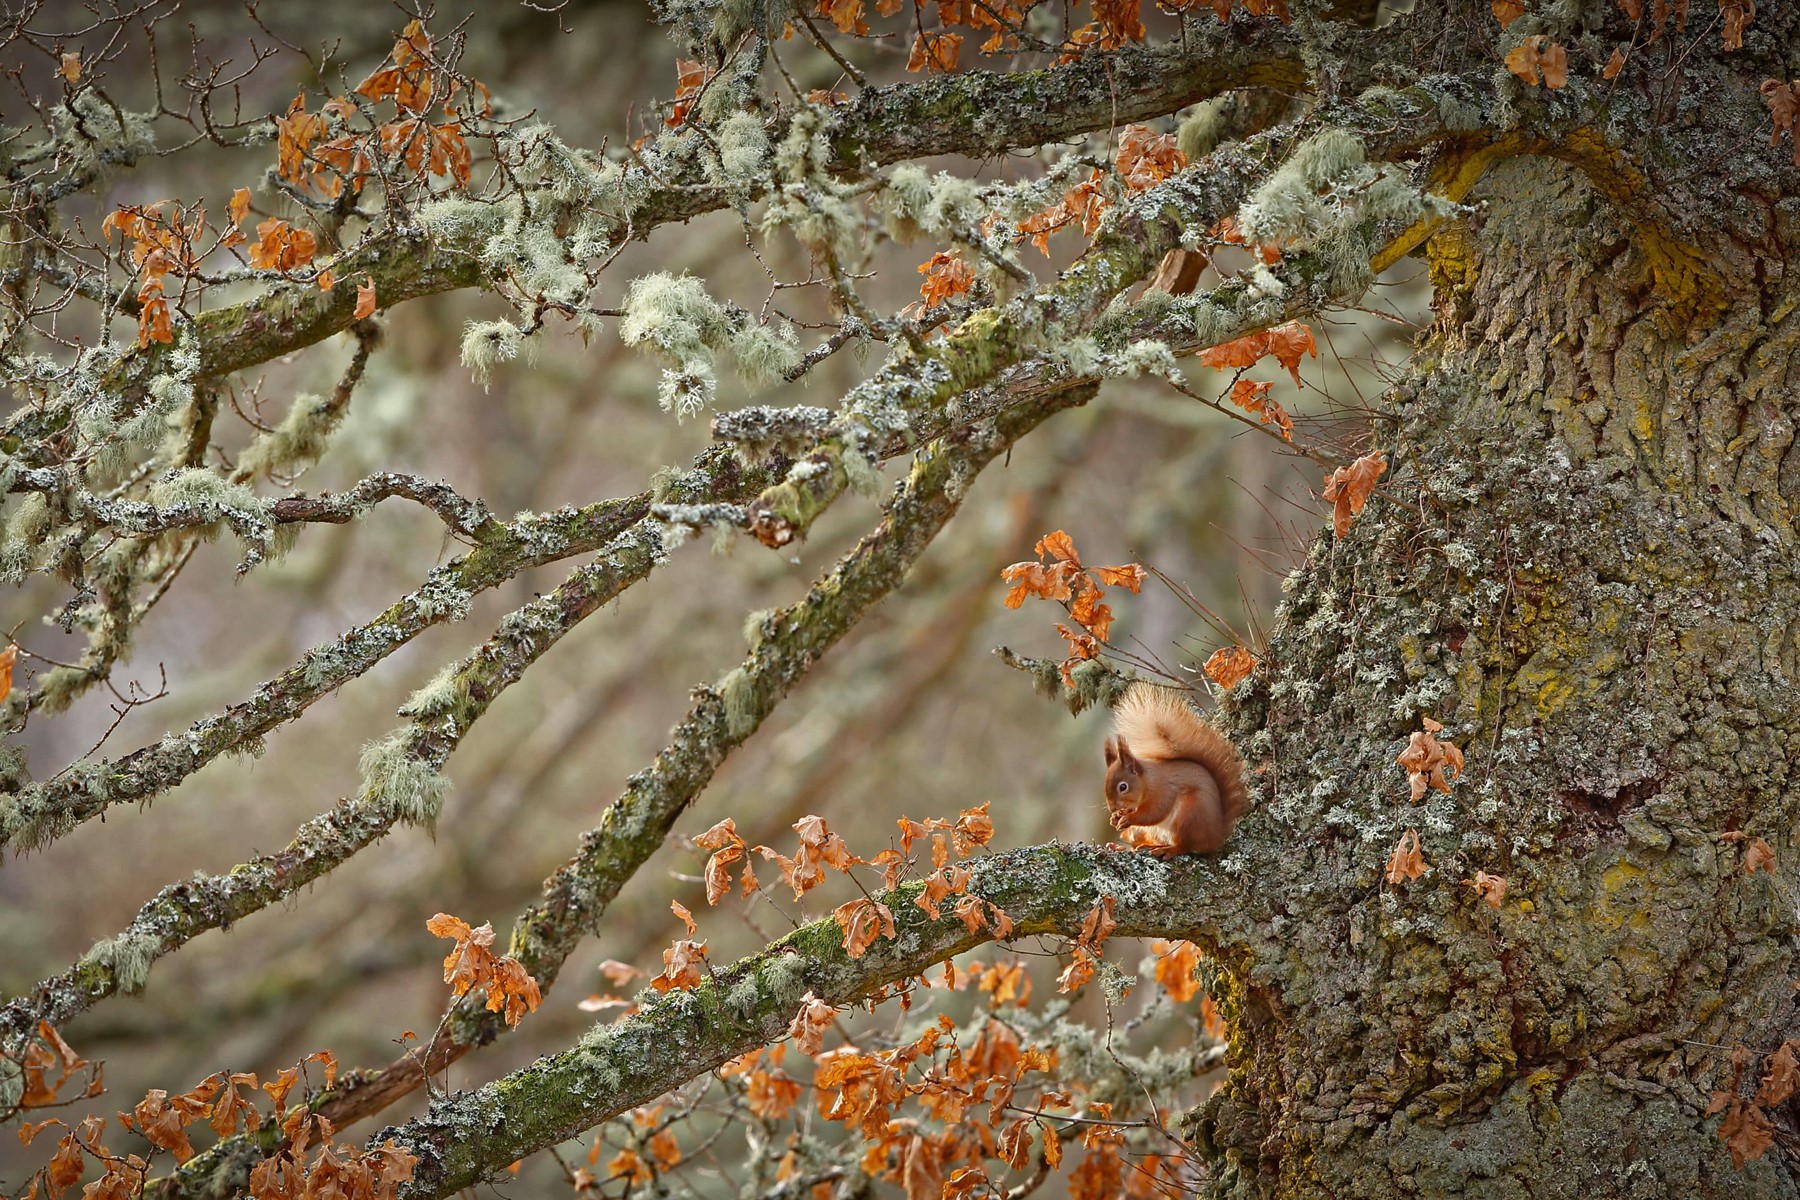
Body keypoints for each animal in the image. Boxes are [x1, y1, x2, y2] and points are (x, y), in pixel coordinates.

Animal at [1102, 682, 1246, 858]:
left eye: (1123, 787)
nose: (1112, 808)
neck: (1147, 781)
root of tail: (1215, 836)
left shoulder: (1162, 791)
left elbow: (1154, 813)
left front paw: (1127, 819)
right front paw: (1116, 817)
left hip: (1188, 816)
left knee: (1185, 846)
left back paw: (1168, 850)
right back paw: (1149, 846)